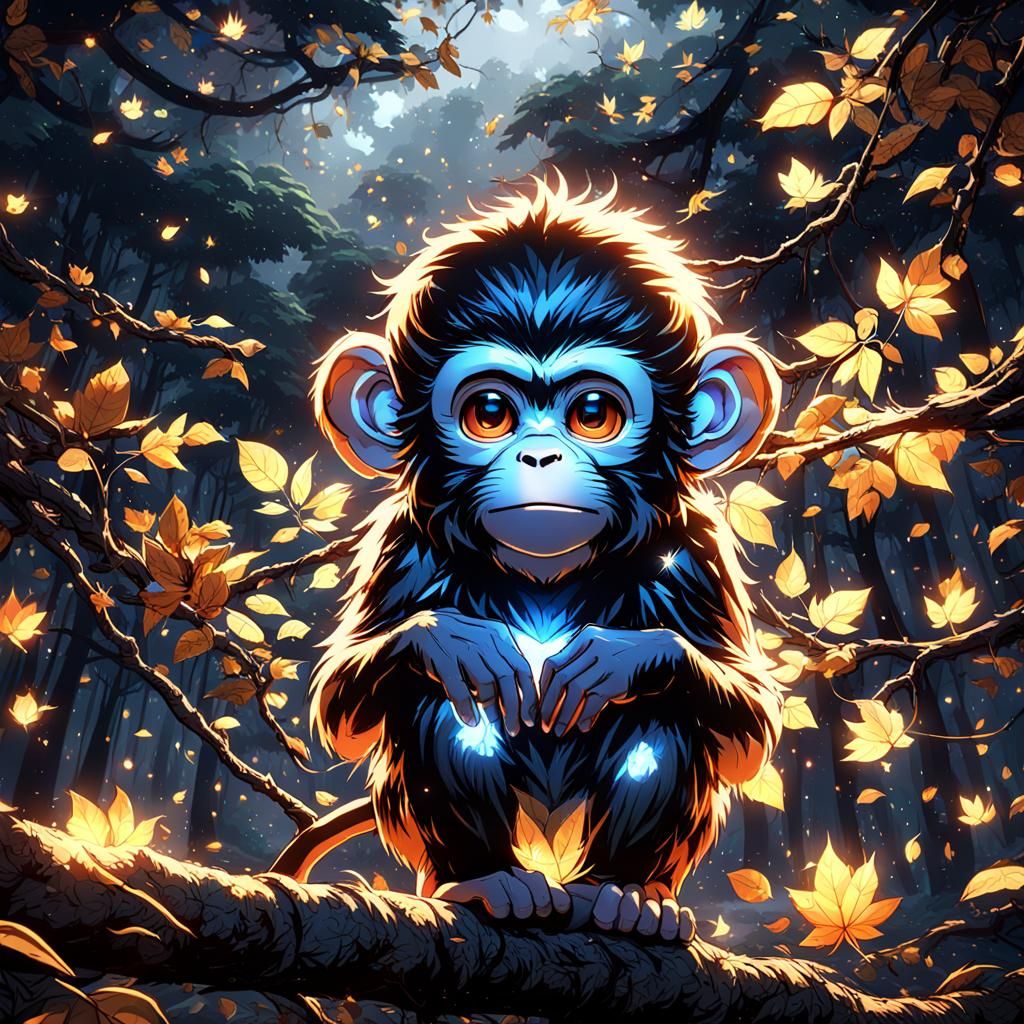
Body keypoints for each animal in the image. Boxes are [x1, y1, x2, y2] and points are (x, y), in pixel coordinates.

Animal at [272, 176, 783, 939]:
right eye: (490, 413)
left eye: (593, 413)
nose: (538, 456)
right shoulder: (403, 543)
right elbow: (345, 708)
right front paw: (451, 638)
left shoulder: (696, 550)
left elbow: (748, 727)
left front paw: (627, 654)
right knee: (449, 696)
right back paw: (483, 879)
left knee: (662, 712)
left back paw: (626, 890)